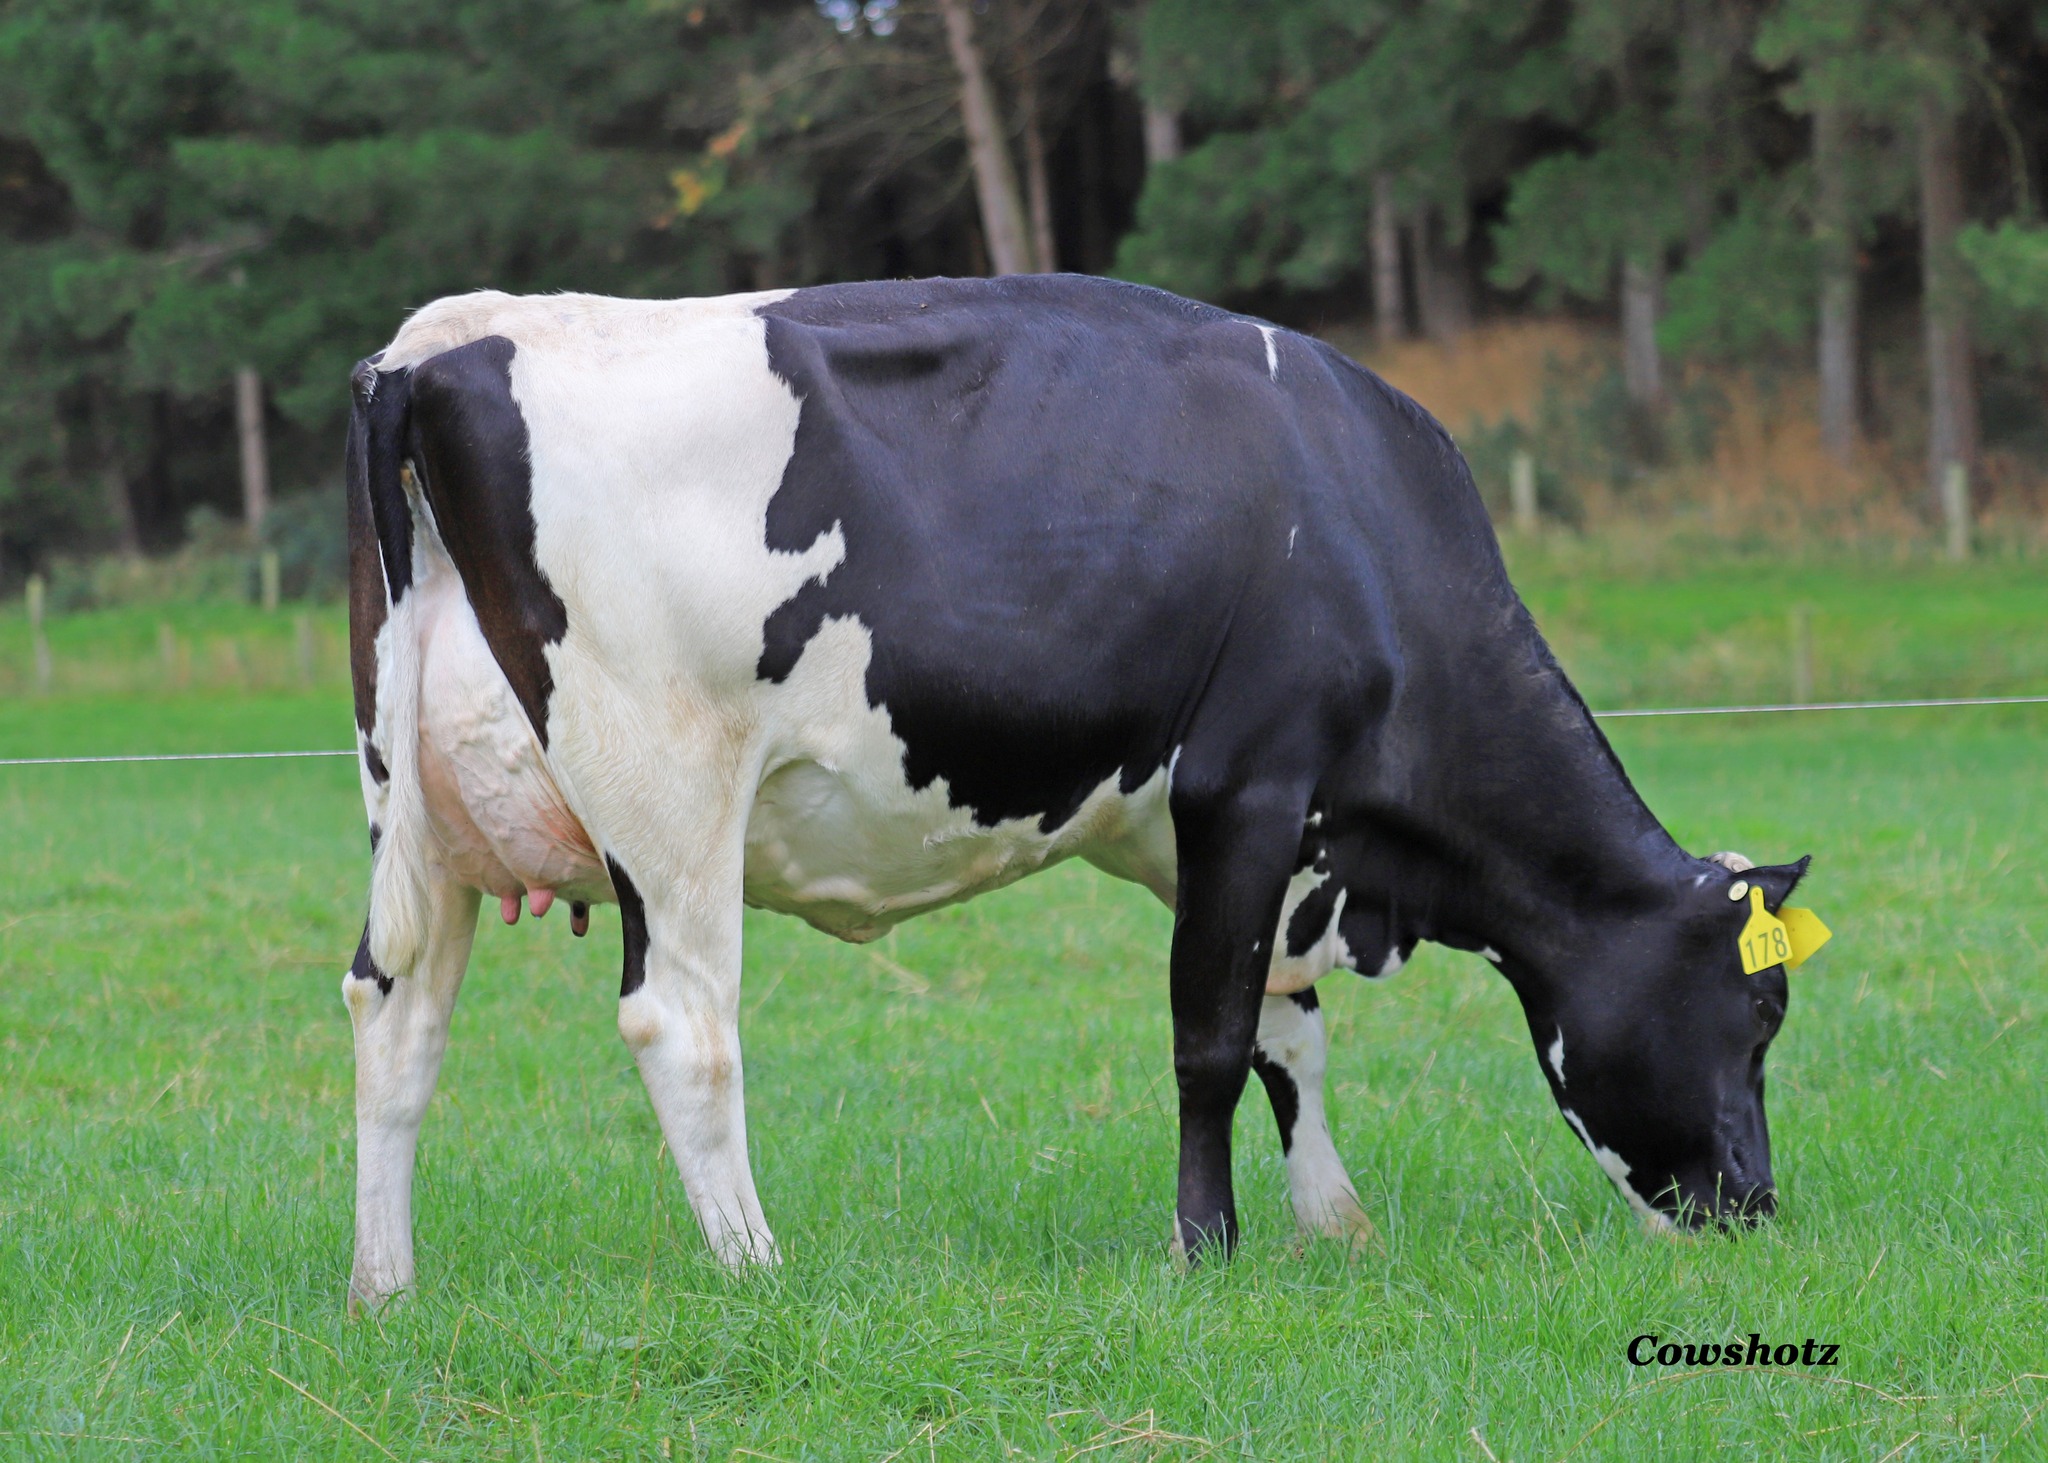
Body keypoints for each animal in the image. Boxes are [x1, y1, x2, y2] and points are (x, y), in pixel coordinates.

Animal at [342, 275, 1813, 1311]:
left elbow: (1287, 1030)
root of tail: (441, 341)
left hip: (411, 810)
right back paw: (757, 1263)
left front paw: (1334, 1223)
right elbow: (1211, 1038)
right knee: (681, 1022)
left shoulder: (1209, 833)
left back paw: (383, 1288)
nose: (1754, 1202)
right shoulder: (1251, 782)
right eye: (1756, 1009)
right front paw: (1206, 1246)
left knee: (394, 1013)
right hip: (666, 788)